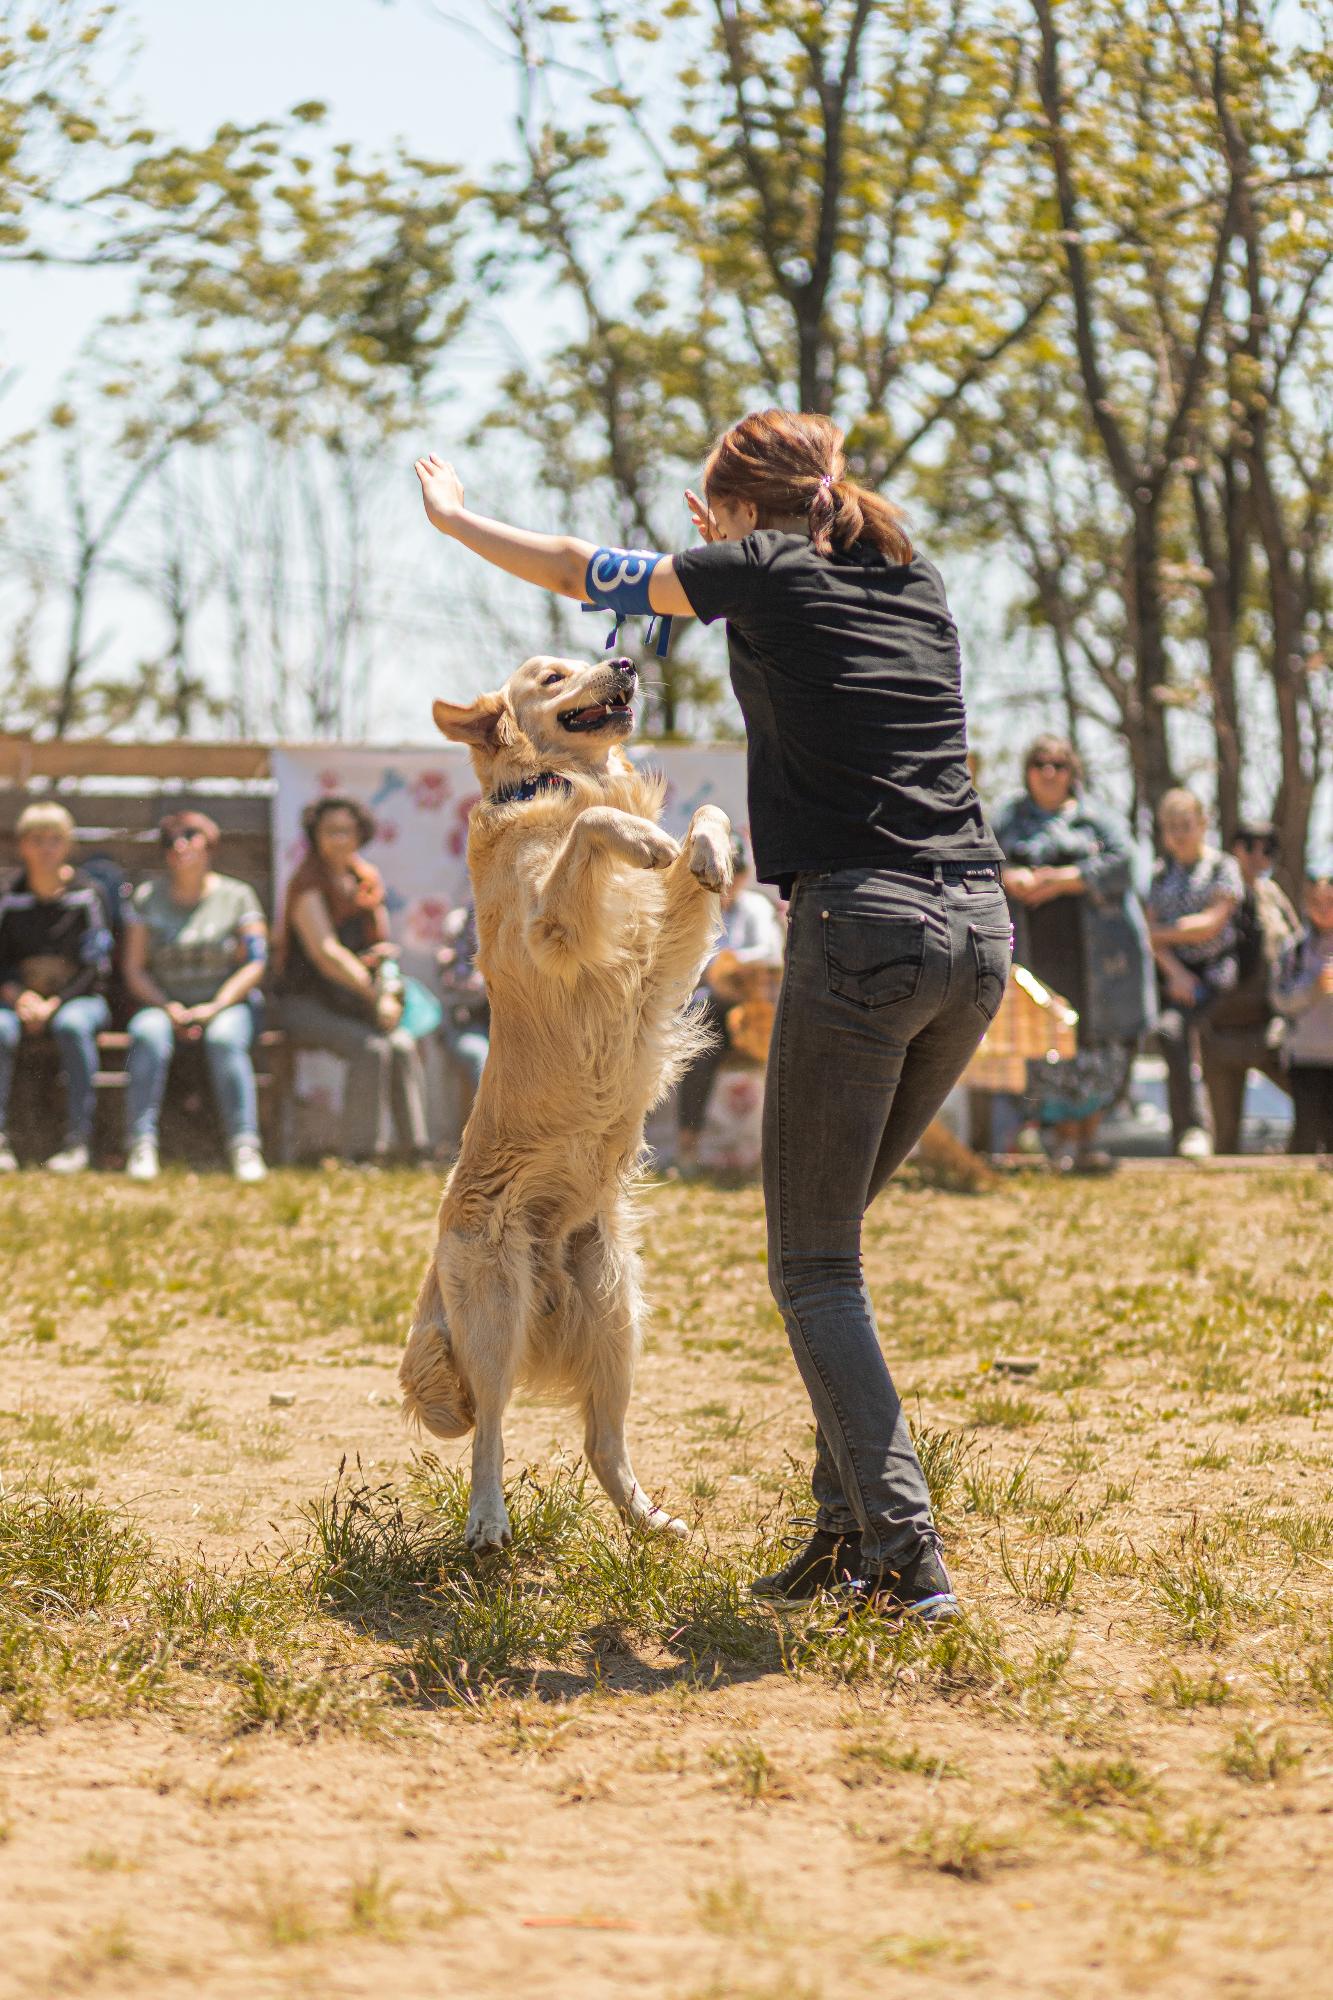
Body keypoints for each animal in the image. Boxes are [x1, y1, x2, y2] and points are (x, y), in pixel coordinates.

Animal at [400, 648, 732, 1552]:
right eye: (549, 677)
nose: (623, 658)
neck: (556, 782)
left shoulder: (663, 952)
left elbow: (711, 812)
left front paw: (706, 847)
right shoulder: (551, 927)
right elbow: (595, 831)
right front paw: (642, 837)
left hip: (616, 1311)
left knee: (600, 1442)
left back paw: (651, 1521)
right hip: (494, 1306)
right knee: (489, 1430)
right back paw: (486, 1521)